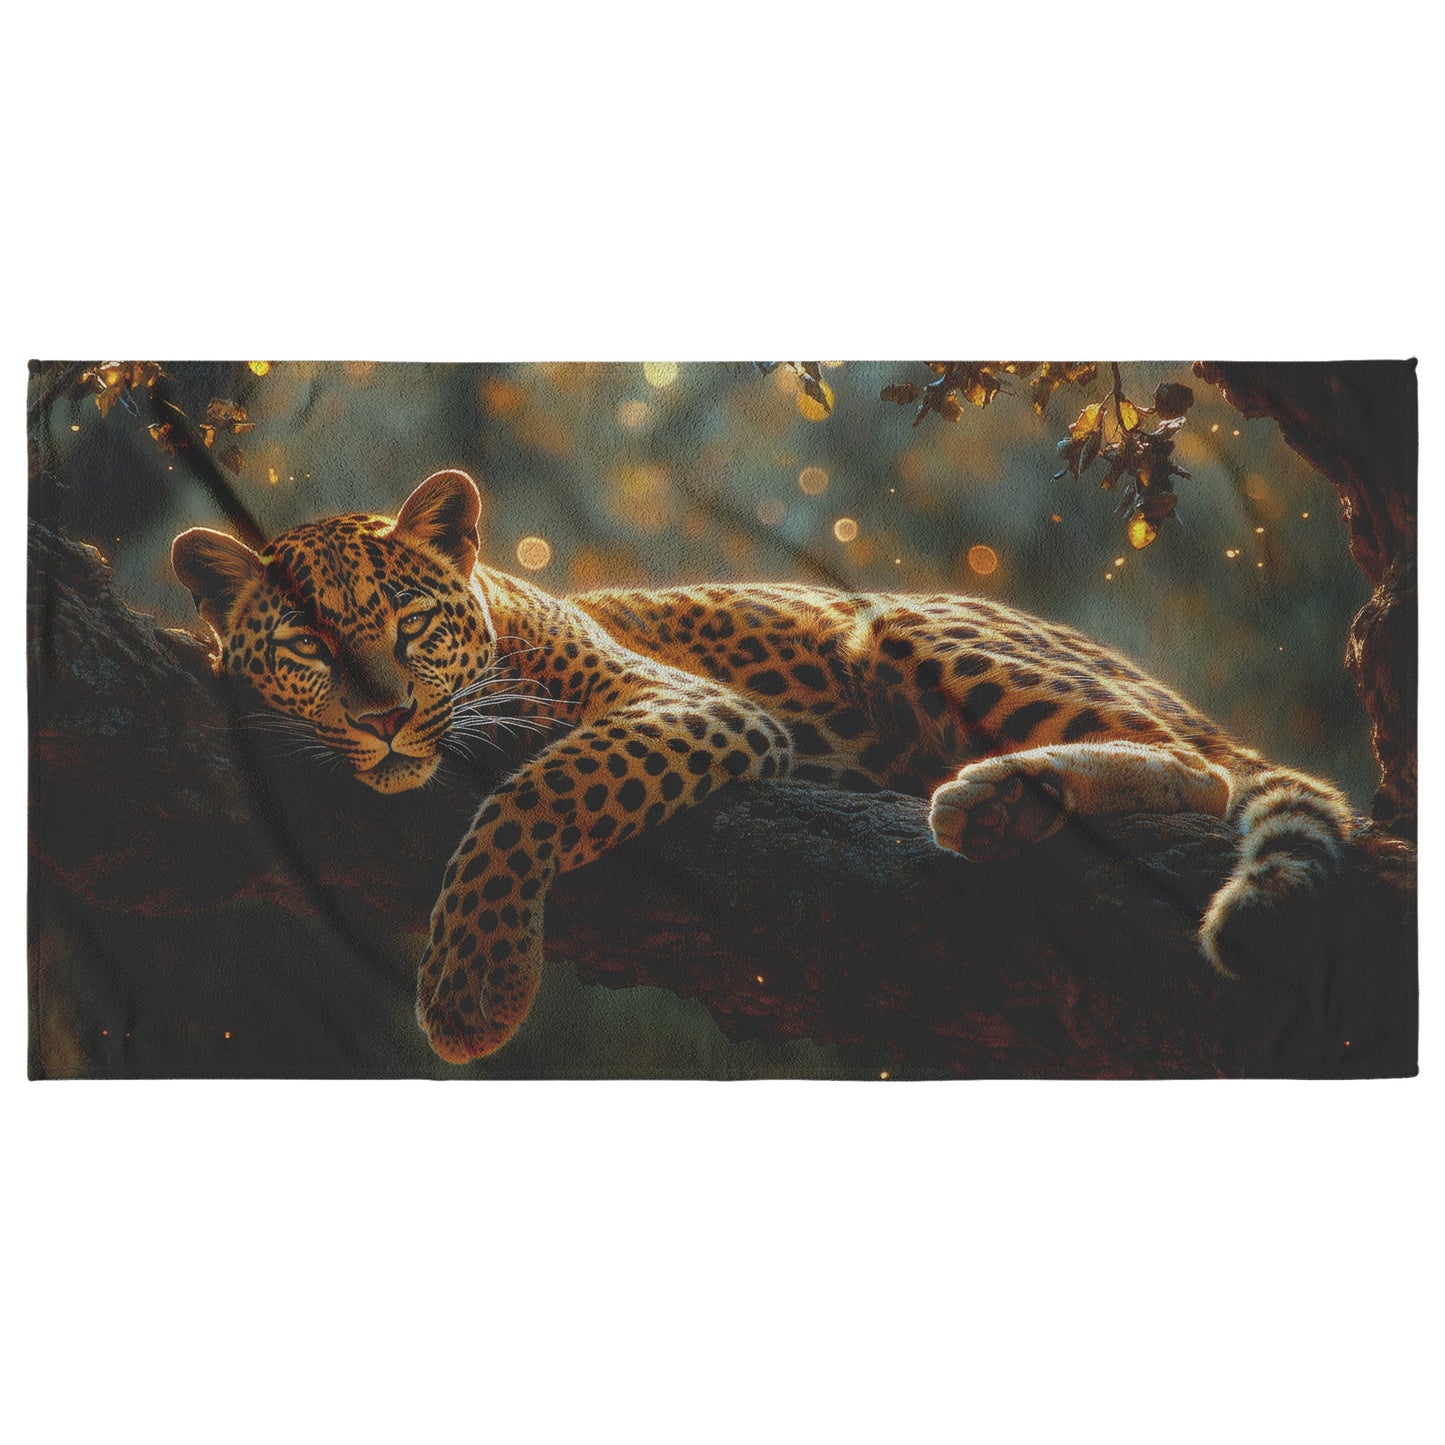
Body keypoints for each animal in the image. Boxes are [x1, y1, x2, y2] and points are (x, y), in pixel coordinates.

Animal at [172, 468, 1357, 1064]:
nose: (383, 716)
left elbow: (531, 790)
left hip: (908, 624)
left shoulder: (695, 704)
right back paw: (1003, 804)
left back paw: (993, 792)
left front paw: (475, 985)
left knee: (1204, 767)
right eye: (309, 645)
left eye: (410, 621)